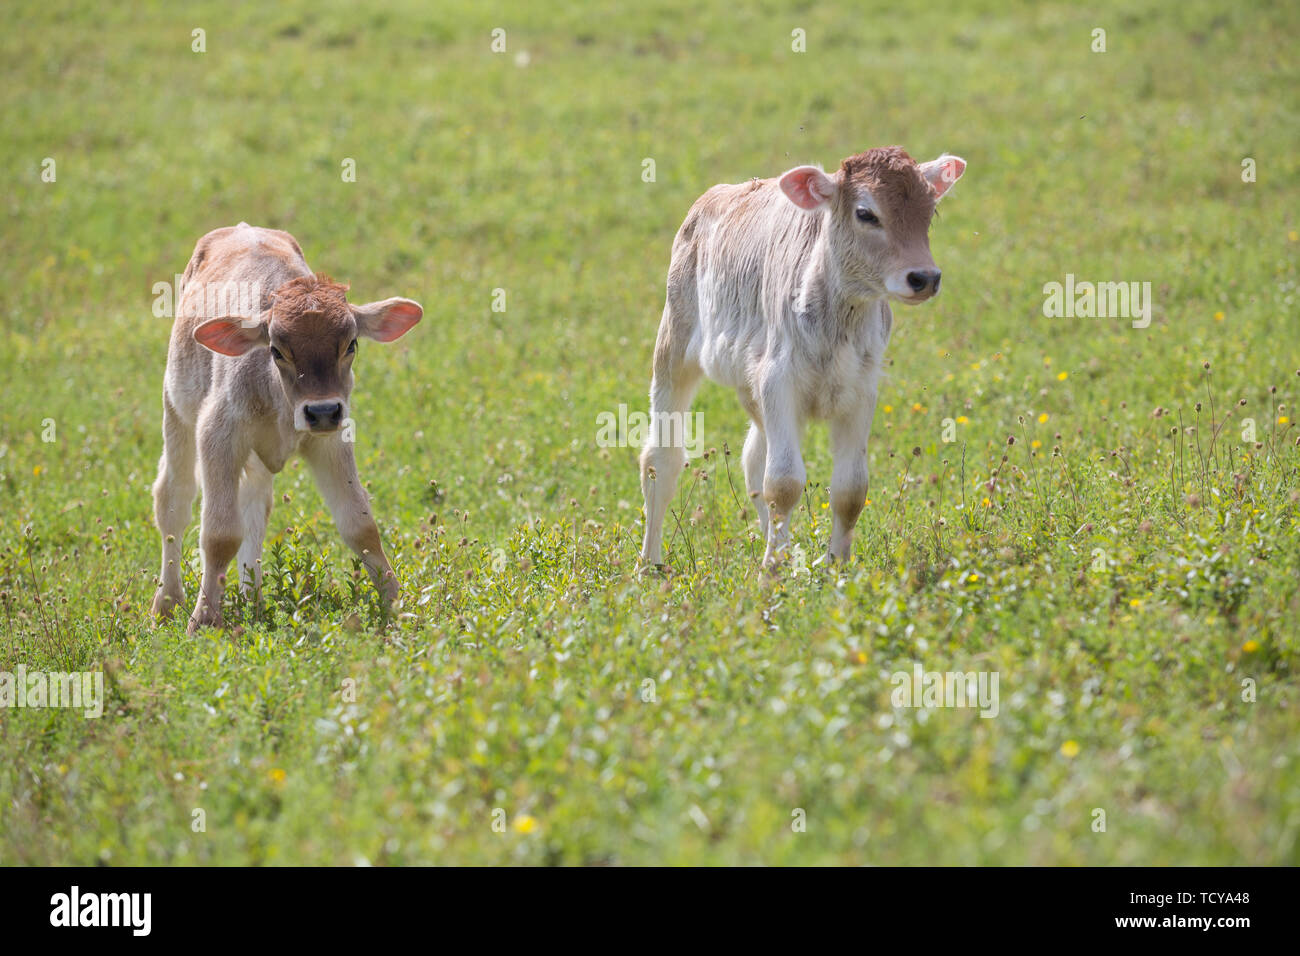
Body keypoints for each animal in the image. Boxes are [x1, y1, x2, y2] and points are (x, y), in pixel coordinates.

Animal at [150, 223, 423, 634]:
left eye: (351, 345)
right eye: (277, 349)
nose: (322, 411)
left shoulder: (333, 441)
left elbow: (360, 525)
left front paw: (396, 607)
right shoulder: (218, 433)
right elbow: (218, 534)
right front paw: (203, 620)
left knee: (254, 504)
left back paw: (252, 599)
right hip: (176, 411)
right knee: (173, 499)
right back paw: (167, 603)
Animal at [638, 146, 966, 569]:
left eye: (930, 211)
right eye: (866, 213)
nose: (924, 277)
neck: (837, 322)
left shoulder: (861, 389)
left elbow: (850, 489)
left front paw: (835, 568)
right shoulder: (778, 379)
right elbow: (784, 483)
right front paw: (771, 571)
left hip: (750, 381)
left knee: (753, 458)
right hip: (674, 342)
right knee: (661, 458)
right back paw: (649, 563)